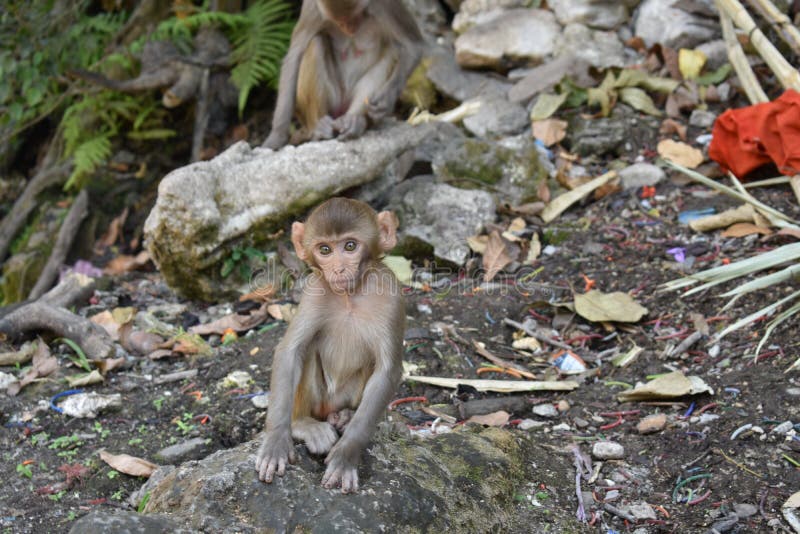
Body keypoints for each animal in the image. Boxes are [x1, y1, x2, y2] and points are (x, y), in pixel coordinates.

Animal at [255, 197, 405, 493]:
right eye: (324, 249)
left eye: (350, 246)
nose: (338, 269)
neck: (350, 296)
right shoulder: (314, 293)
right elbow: (291, 352)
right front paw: (276, 440)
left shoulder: (391, 297)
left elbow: (387, 371)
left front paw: (347, 454)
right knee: (307, 353)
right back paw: (303, 424)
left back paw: (344, 417)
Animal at [262, 0, 423, 149]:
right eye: (340, 22)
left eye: (355, 17)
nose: (349, 28)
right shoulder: (312, 8)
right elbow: (295, 55)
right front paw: (276, 136)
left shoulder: (383, 4)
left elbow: (413, 45)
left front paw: (386, 100)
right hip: (330, 103)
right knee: (316, 43)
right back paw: (318, 126)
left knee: (392, 50)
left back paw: (355, 121)